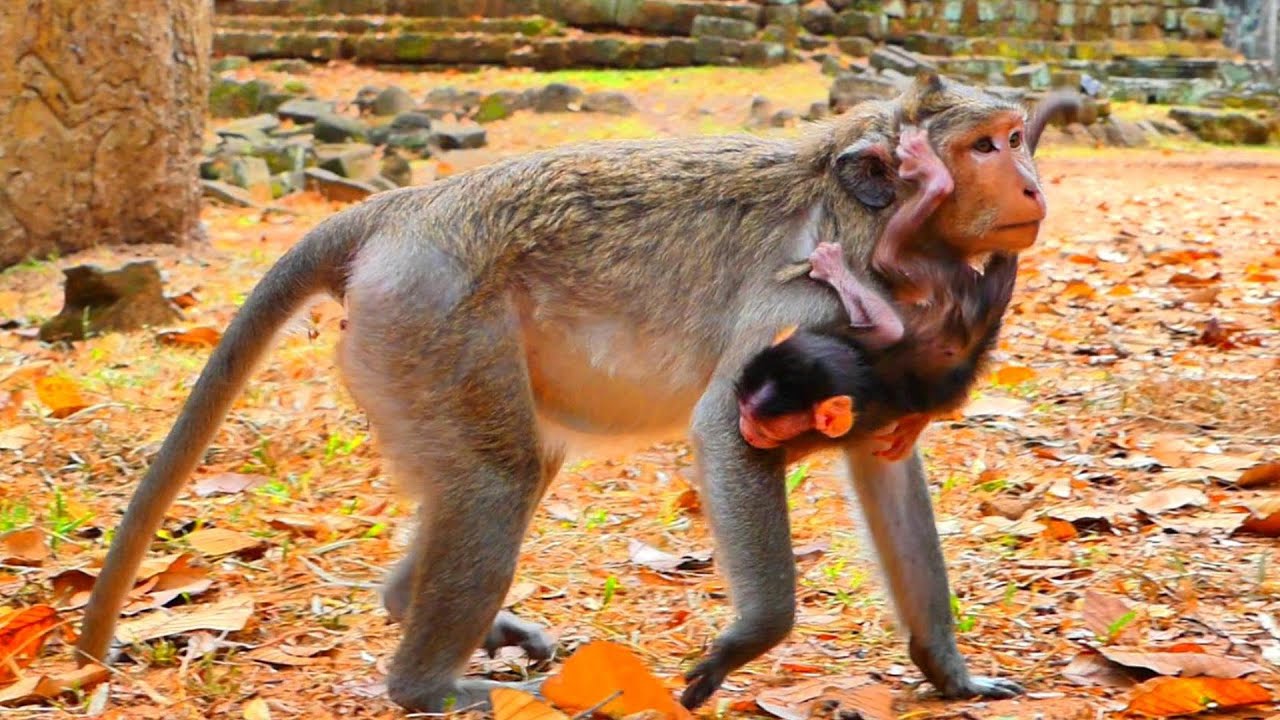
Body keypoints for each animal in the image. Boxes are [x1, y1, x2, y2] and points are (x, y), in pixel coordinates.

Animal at [74, 74, 1078, 714]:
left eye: (1013, 139)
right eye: (984, 148)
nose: (1032, 181)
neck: (860, 219)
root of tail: (402, 210)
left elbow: (885, 467)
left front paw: (948, 672)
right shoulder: (809, 301)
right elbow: (727, 426)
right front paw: (746, 641)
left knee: (508, 466)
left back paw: (415, 607)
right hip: (428, 314)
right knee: (500, 476)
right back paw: (430, 686)